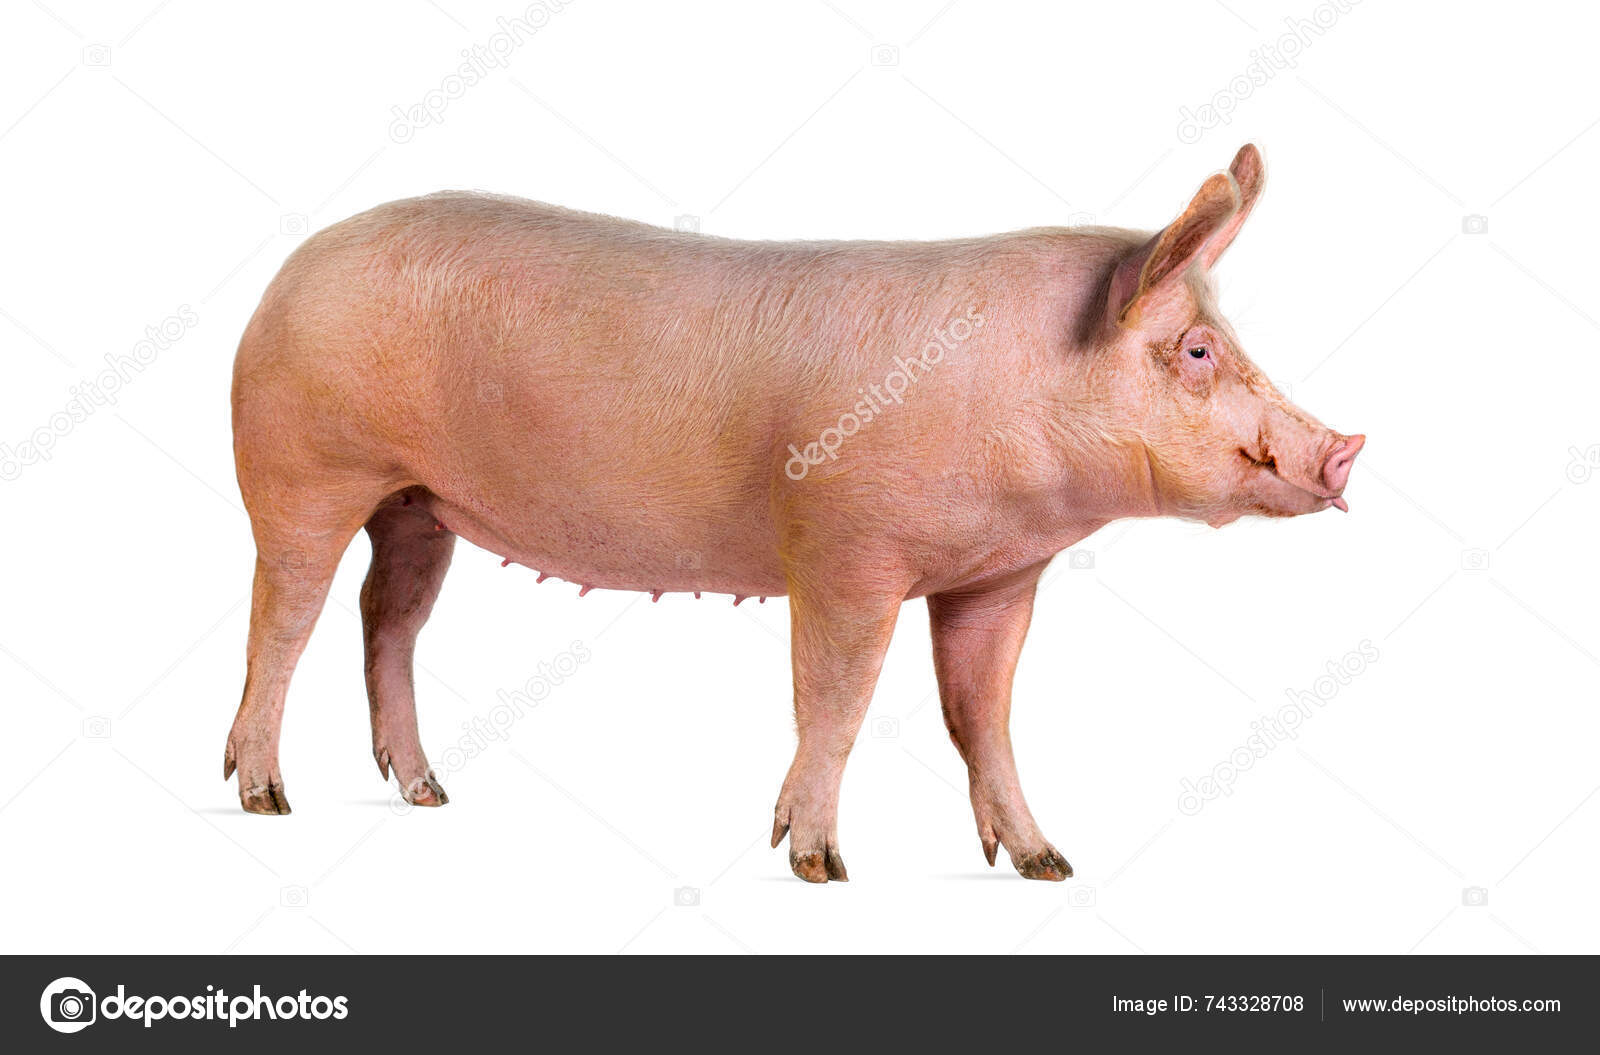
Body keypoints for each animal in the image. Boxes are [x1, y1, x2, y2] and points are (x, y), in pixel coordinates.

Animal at [226, 143, 1362, 882]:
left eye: (1228, 337)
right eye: (1197, 350)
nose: (1345, 447)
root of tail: (287, 273)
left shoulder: (994, 576)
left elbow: (981, 714)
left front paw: (1047, 862)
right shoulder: (844, 548)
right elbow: (838, 699)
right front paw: (819, 865)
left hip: (418, 505)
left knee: (388, 619)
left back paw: (428, 792)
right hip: (304, 471)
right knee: (282, 619)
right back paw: (265, 797)